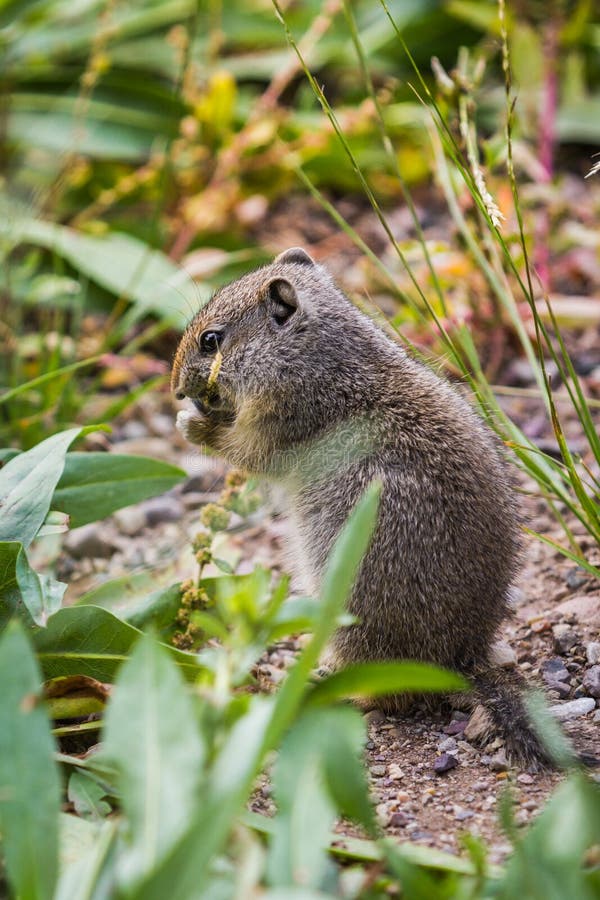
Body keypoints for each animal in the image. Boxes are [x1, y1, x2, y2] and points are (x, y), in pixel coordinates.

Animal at [172, 246, 553, 770]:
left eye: (211, 341)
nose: (174, 388)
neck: (317, 352)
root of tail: (461, 656)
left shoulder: (279, 419)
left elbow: (242, 449)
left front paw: (191, 423)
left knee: (394, 695)